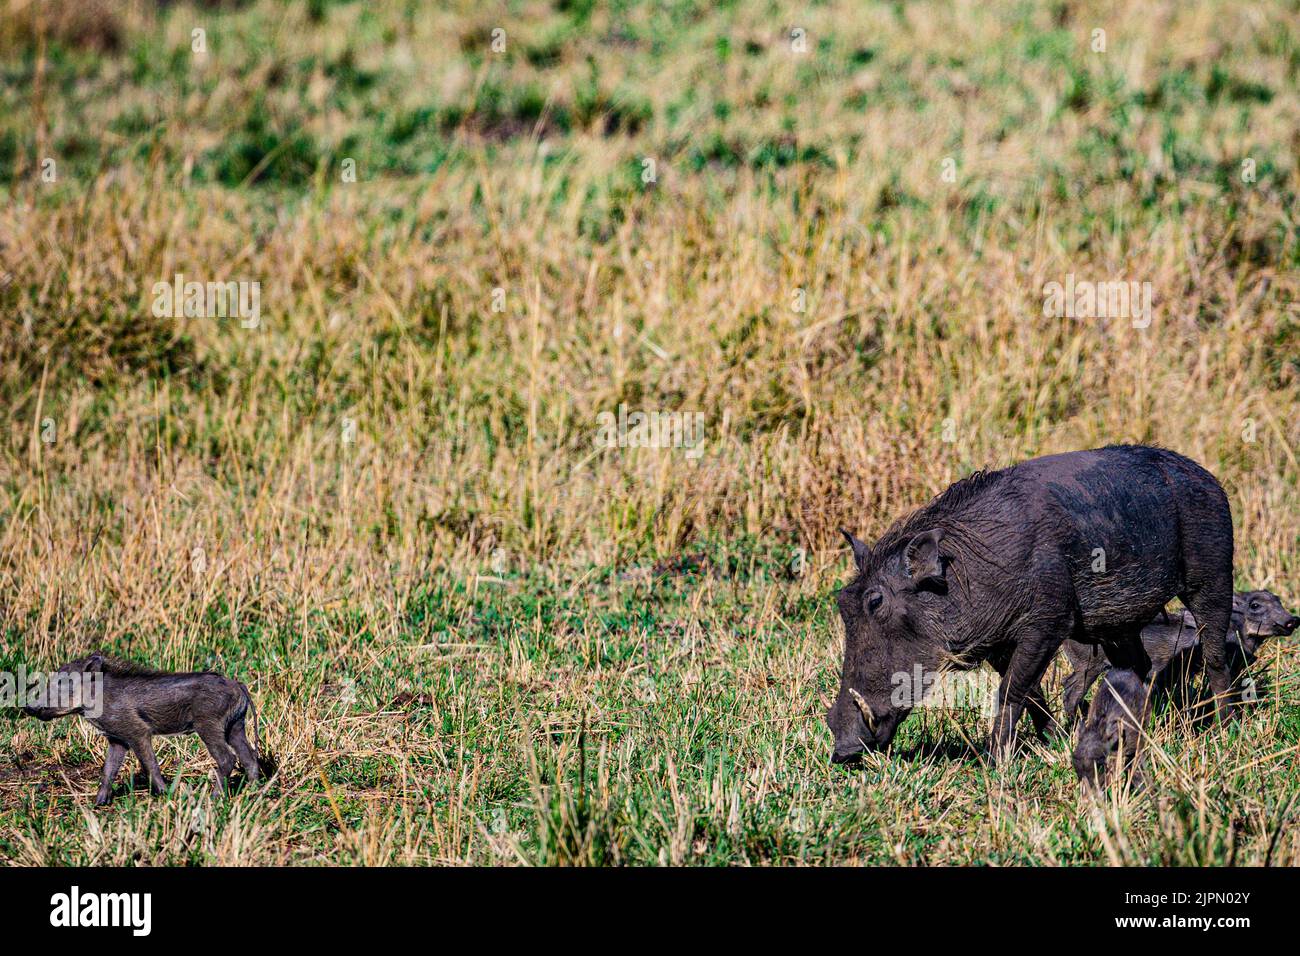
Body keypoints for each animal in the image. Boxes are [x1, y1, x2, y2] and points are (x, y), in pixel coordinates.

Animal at [23, 652, 264, 806]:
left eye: (63, 682)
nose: (28, 707)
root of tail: (236, 684)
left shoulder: (137, 733)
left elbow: (150, 766)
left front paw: (166, 795)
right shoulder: (117, 739)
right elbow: (108, 771)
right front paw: (98, 804)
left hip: (208, 726)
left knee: (227, 759)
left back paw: (214, 799)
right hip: (235, 727)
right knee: (249, 759)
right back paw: (252, 793)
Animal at [828, 445, 1234, 764]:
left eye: (876, 601)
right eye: (842, 601)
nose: (842, 750)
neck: (961, 572)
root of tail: (1208, 477)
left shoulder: (1047, 625)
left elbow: (1012, 691)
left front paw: (994, 762)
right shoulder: (997, 643)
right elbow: (1031, 694)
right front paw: (1052, 742)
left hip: (1213, 581)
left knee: (1215, 655)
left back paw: (1226, 728)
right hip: (1120, 622)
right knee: (1138, 666)